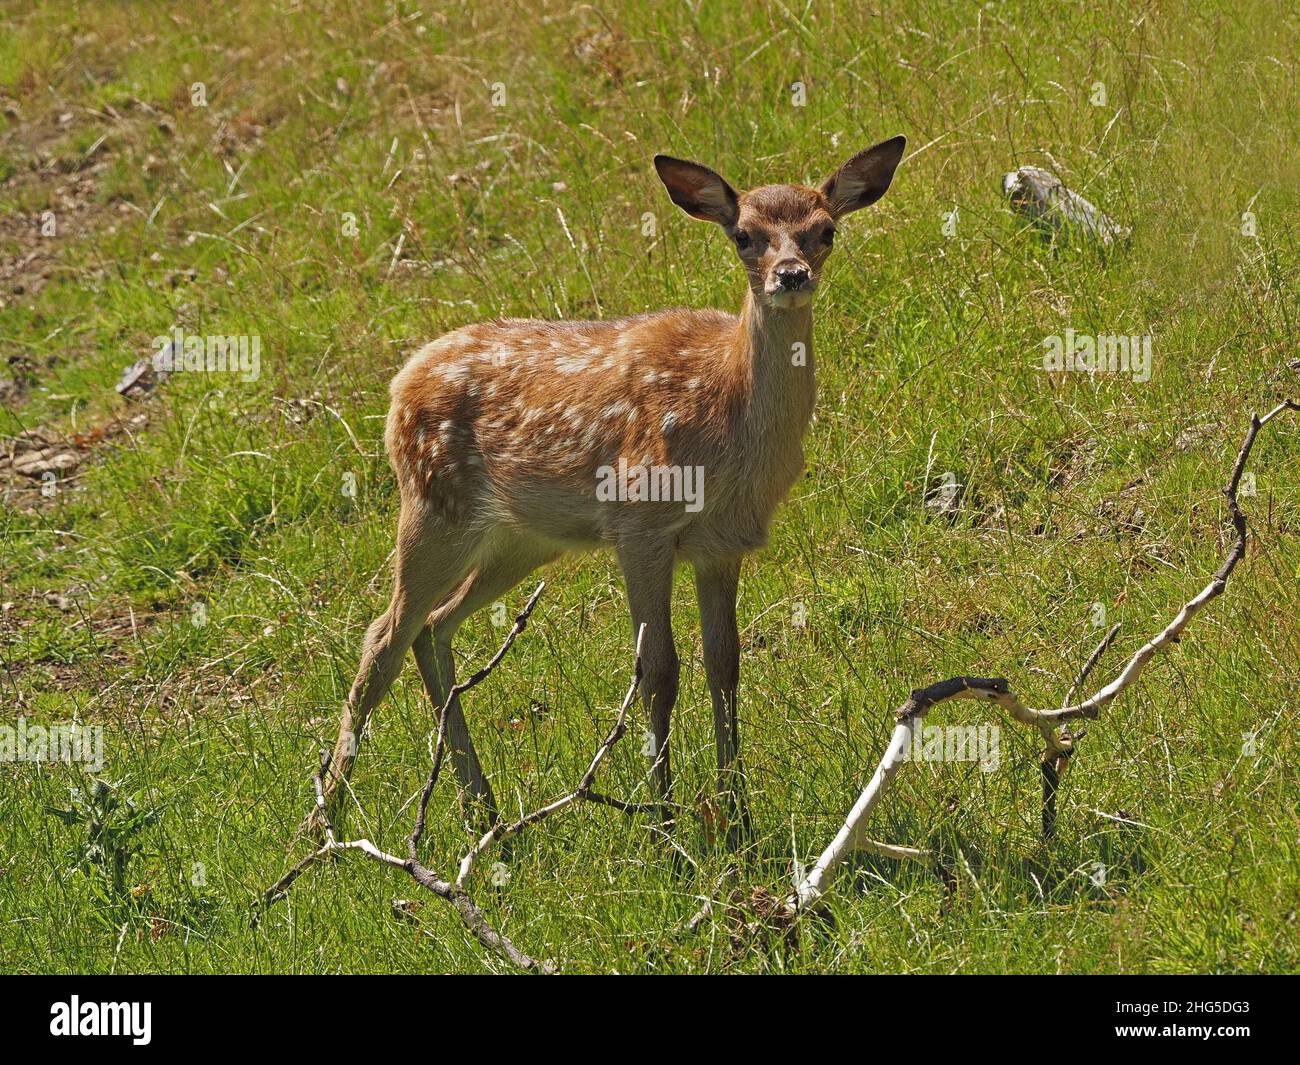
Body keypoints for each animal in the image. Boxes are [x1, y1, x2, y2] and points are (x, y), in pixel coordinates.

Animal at [311, 136, 906, 849]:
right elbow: (658, 670)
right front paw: (665, 825)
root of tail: (400, 380)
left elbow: (725, 663)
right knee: (382, 638)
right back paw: (328, 822)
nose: (790, 275)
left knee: (431, 628)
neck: (727, 414)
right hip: (432, 504)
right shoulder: (640, 523)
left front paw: (736, 814)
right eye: (743, 235)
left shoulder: (721, 542)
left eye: (826, 230)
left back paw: (482, 810)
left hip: (521, 539)